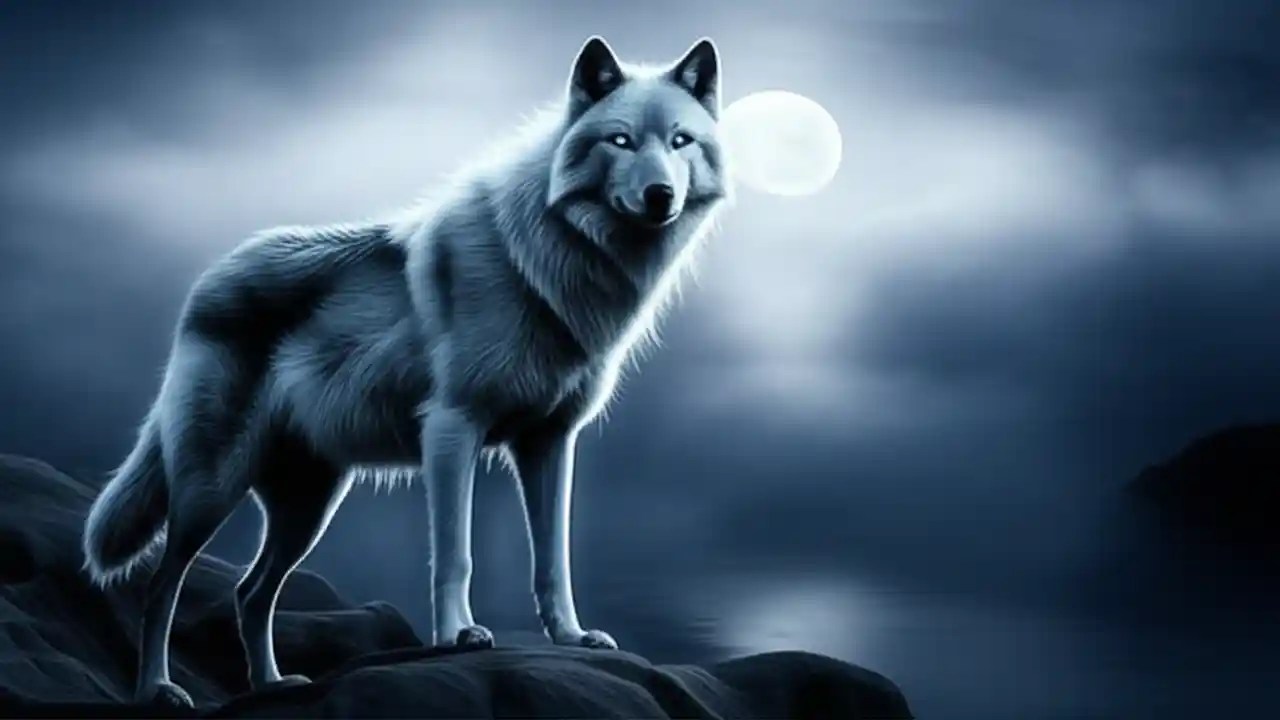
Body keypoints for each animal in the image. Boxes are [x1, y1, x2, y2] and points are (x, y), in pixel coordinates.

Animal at [80, 36, 729, 707]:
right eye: (620, 141)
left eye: (680, 141)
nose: (660, 195)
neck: (550, 264)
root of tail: (205, 283)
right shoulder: (451, 427)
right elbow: (455, 554)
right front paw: (459, 635)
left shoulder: (548, 442)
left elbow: (554, 561)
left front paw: (573, 637)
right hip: (211, 490)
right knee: (161, 586)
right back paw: (156, 690)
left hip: (309, 508)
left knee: (250, 593)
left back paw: (272, 684)